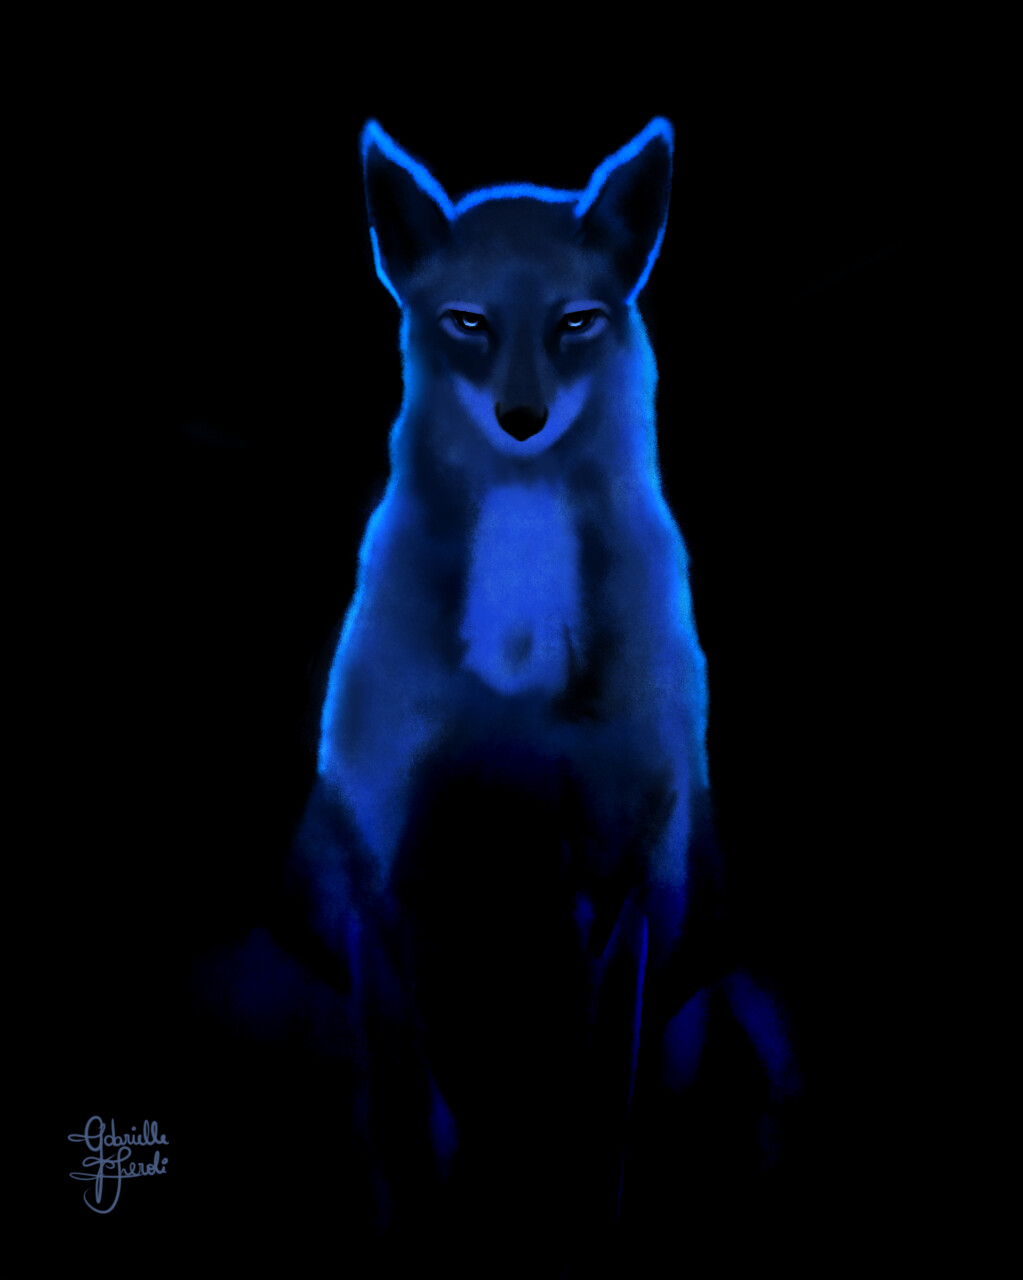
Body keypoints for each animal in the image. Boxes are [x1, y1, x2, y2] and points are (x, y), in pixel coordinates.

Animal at [282, 118, 798, 1262]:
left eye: (576, 322)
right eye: (468, 323)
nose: (523, 419)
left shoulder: (625, 880)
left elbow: (599, 1124)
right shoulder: (392, 891)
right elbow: (407, 1132)